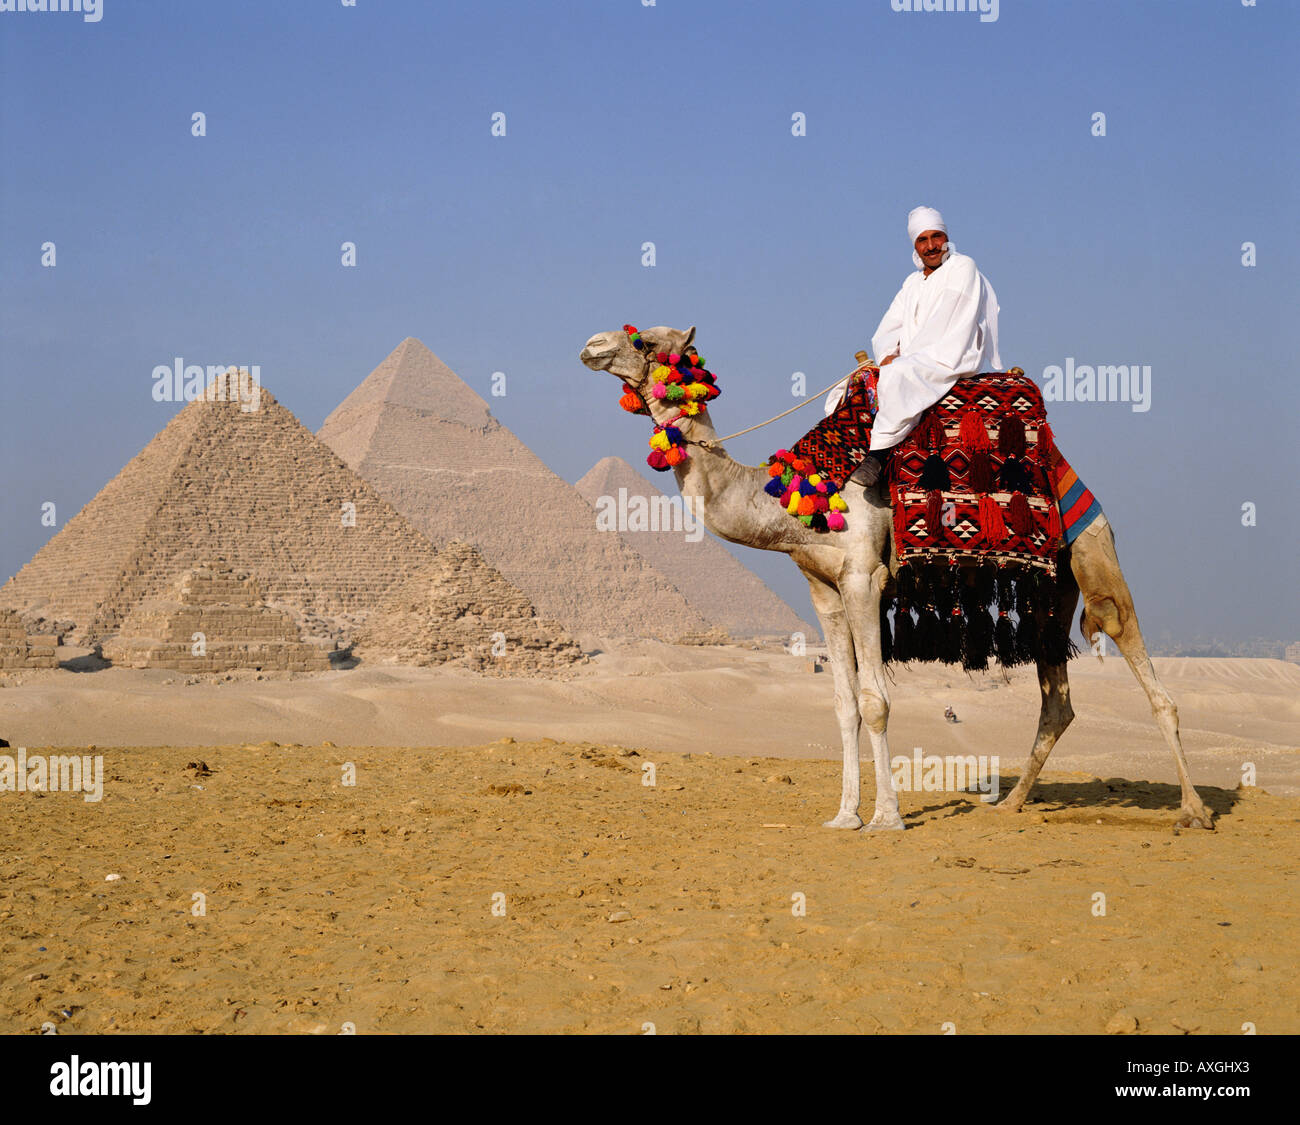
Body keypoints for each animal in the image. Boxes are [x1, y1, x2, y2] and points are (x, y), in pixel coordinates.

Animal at [580, 324, 1214, 832]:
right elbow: (844, 704)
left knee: (1130, 642)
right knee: (1055, 695)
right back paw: (1011, 804)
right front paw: (843, 815)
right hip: (1048, 592)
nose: (592, 345)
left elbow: (876, 701)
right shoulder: (823, 589)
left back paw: (1194, 810)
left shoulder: (864, 577)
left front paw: (887, 817)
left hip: (1092, 550)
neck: (792, 500)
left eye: (646, 341)